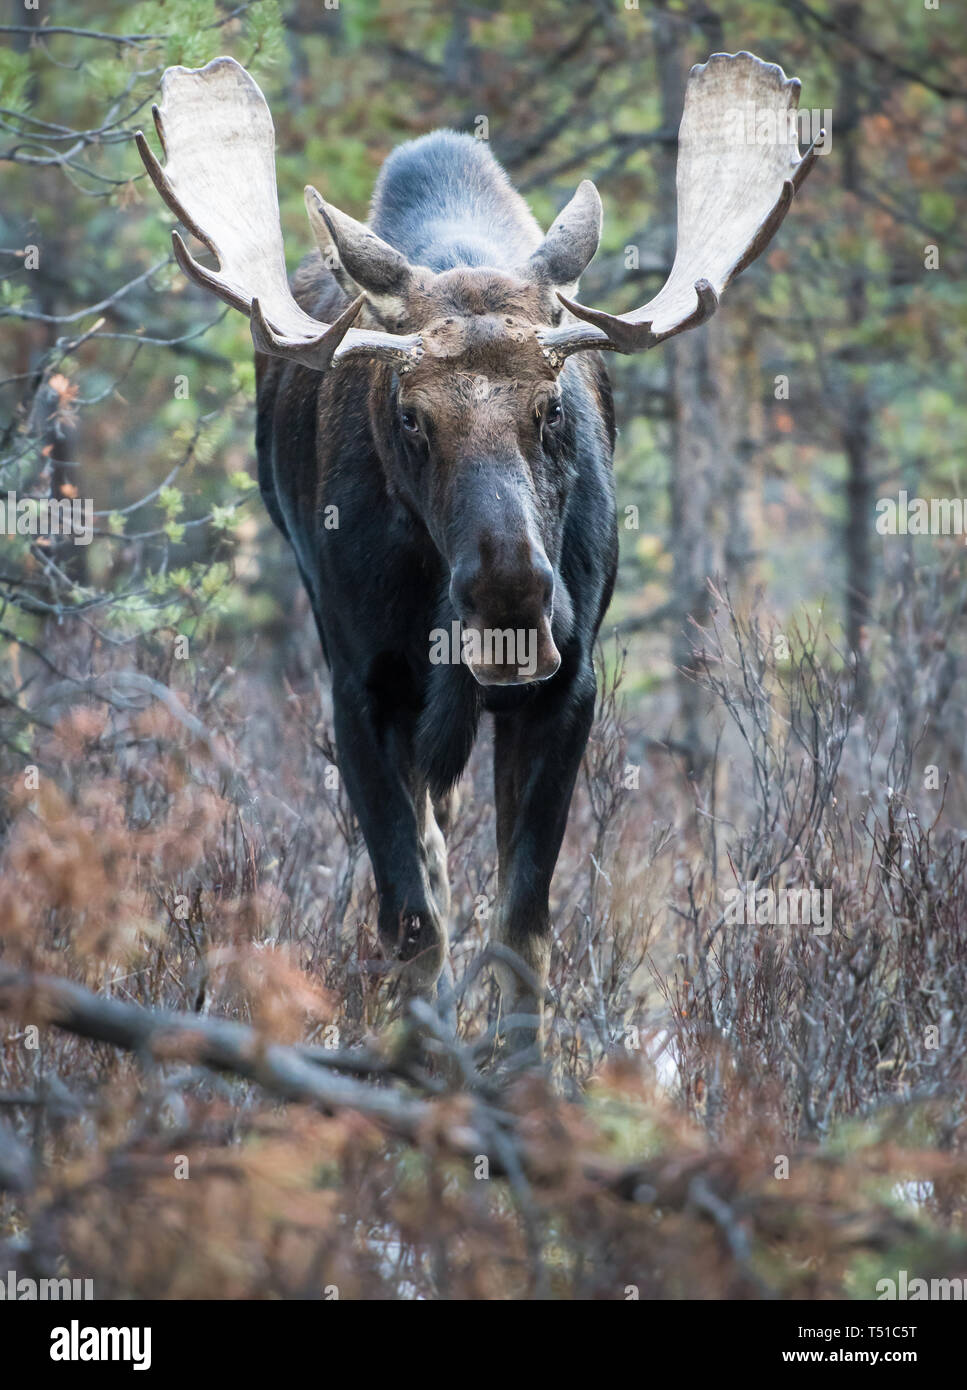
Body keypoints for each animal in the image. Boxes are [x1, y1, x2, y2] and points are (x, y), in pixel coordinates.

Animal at [136, 50, 819, 1056]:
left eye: (552, 406)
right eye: (410, 415)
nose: (511, 597)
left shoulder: (569, 686)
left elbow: (523, 921)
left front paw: (519, 1073)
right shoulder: (359, 687)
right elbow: (413, 912)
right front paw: (421, 1064)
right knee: (428, 854)